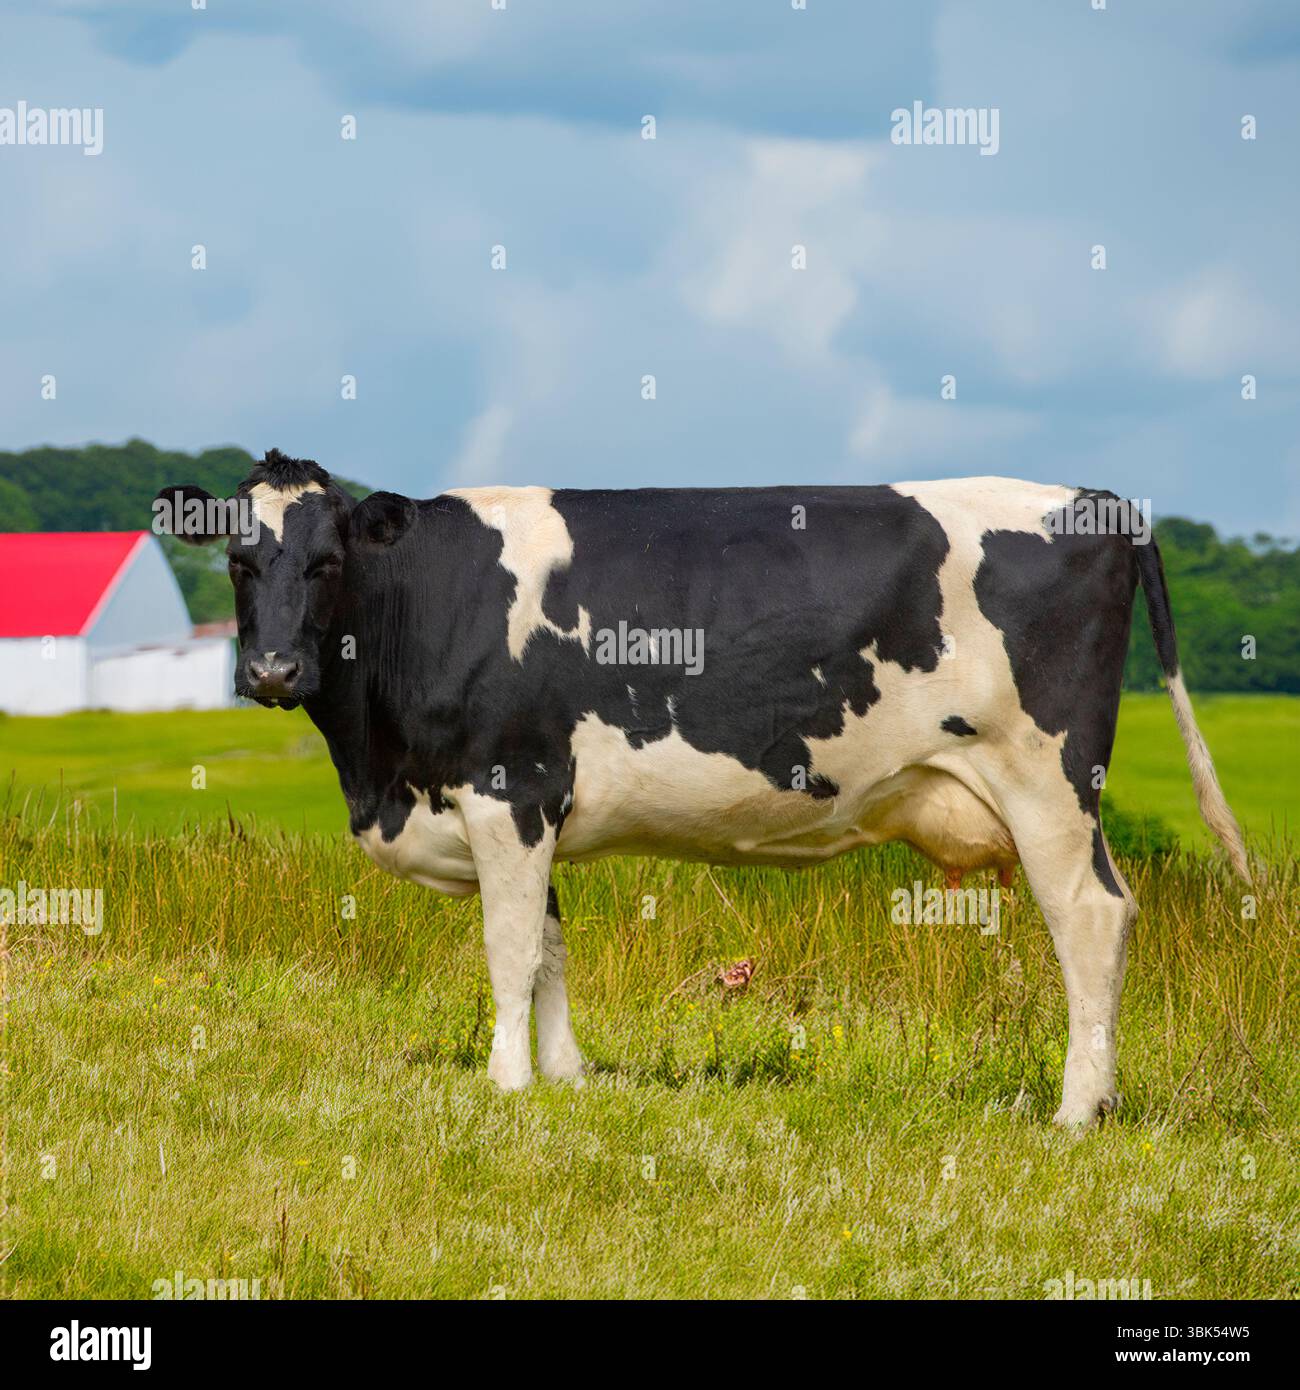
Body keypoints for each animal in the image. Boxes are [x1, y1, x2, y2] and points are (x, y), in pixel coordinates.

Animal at [156, 449, 1250, 1127]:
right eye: (241, 560)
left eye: (326, 559)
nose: (274, 671)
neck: (381, 768)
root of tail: (1096, 500)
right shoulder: (538, 806)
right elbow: (552, 946)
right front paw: (567, 1079)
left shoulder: (509, 787)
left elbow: (510, 950)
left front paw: (506, 1084)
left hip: (1047, 777)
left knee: (1090, 916)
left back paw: (1076, 1110)